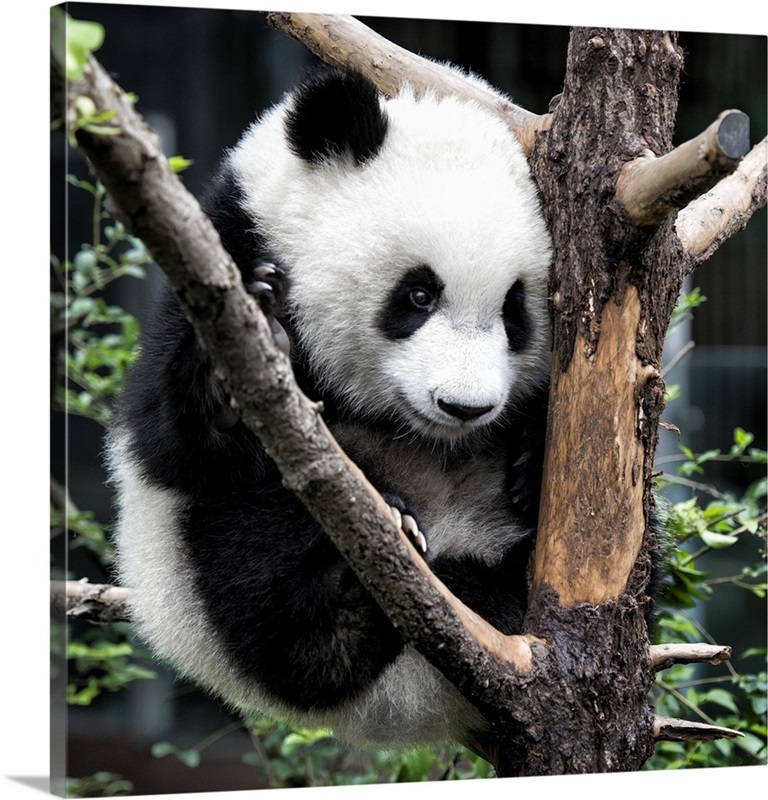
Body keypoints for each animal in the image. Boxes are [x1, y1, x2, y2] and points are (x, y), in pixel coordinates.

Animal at [107, 65, 553, 749]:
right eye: (418, 294)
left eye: (515, 310)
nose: (464, 406)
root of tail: (408, 701)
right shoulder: (226, 247)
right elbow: (170, 442)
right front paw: (229, 385)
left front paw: (532, 458)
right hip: (186, 569)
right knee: (259, 575)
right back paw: (350, 595)